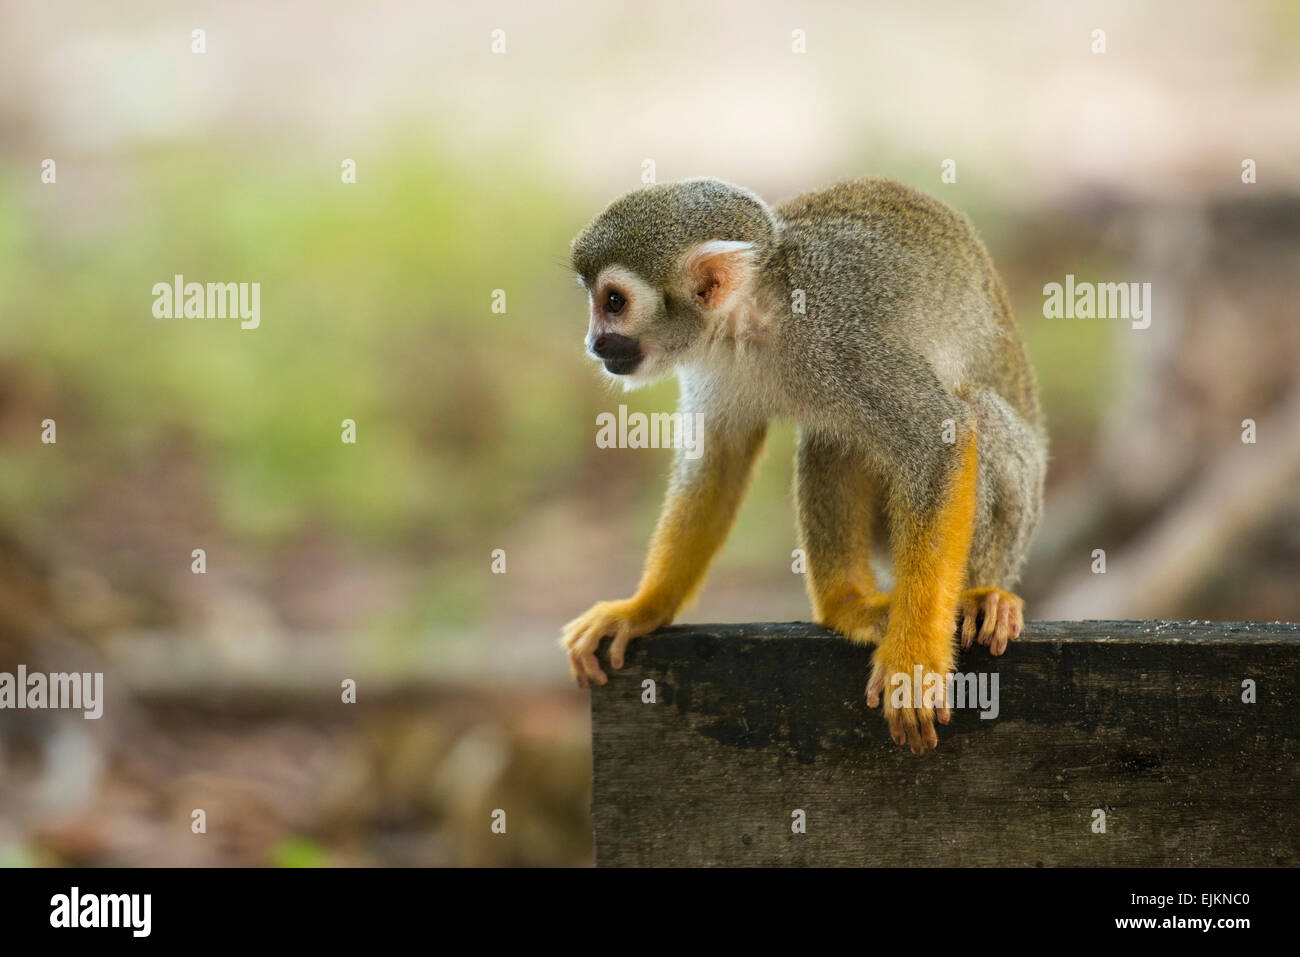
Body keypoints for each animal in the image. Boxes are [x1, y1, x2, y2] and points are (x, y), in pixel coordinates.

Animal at [560, 177, 1047, 753]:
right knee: (834, 435)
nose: (593, 343)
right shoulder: (715, 361)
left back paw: (978, 598)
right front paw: (643, 608)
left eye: (613, 302)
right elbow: (717, 465)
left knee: (972, 410)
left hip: (1021, 512)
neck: (757, 318)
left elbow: (940, 435)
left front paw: (913, 664)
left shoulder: (844, 341)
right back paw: (846, 605)